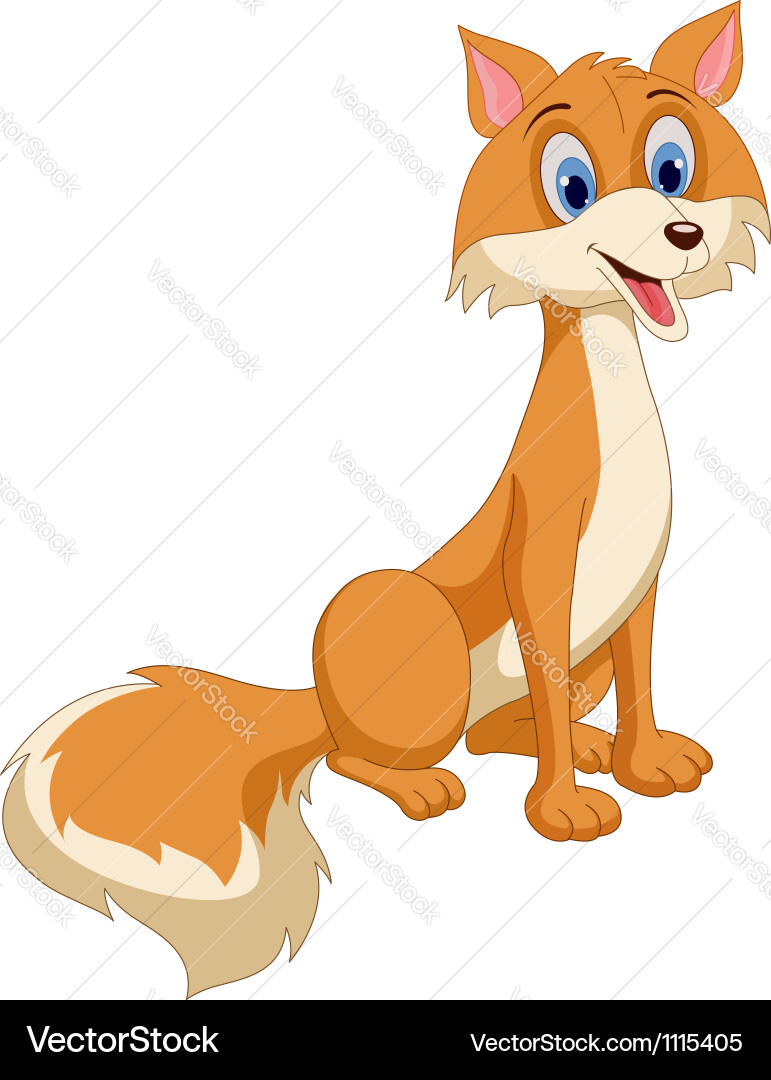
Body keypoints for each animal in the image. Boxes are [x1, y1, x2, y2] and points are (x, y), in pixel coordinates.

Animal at [3, 2, 768, 997]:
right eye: (571, 186)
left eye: (674, 168)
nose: (680, 238)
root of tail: (315, 696)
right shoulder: (541, 570)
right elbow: (547, 701)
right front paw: (561, 807)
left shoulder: (637, 581)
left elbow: (639, 684)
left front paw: (639, 761)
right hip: (401, 612)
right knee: (359, 751)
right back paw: (423, 783)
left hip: (544, 662)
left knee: (495, 730)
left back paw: (572, 741)